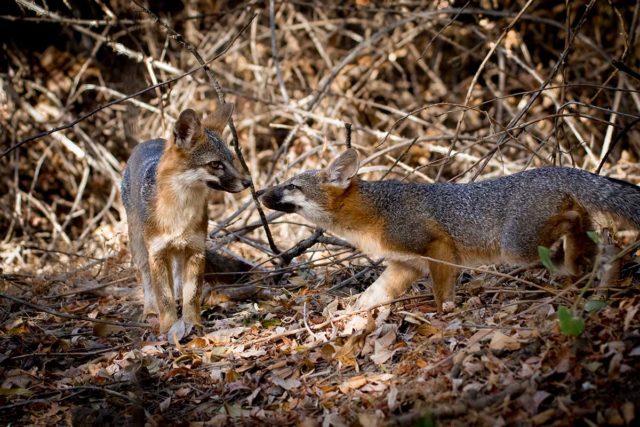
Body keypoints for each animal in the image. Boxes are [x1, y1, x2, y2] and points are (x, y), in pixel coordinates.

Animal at [121, 104, 249, 333]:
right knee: (148, 281)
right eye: (215, 164)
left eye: (232, 160)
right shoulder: (157, 253)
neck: (180, 212)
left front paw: (193, 324)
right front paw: (168, 328)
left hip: (180, 252)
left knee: (178, 277)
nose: (248, 182)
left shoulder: (196, 250)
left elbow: (193, 295)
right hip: (139, 248)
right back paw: (150, 311)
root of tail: (147, 142)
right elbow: (164, 298)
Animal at [259, 148, 640, 313]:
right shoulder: (403, 266)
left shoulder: (438, 248)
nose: (260, 194)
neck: (376, 213)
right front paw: (348, 319)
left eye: (291, 186)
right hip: (539, 249)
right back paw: (595, 268)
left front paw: (445, 315)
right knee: (589, 233)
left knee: (574, 220)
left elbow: (442, 293)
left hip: (518, 249)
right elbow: (371, 296)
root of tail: (555, 168)